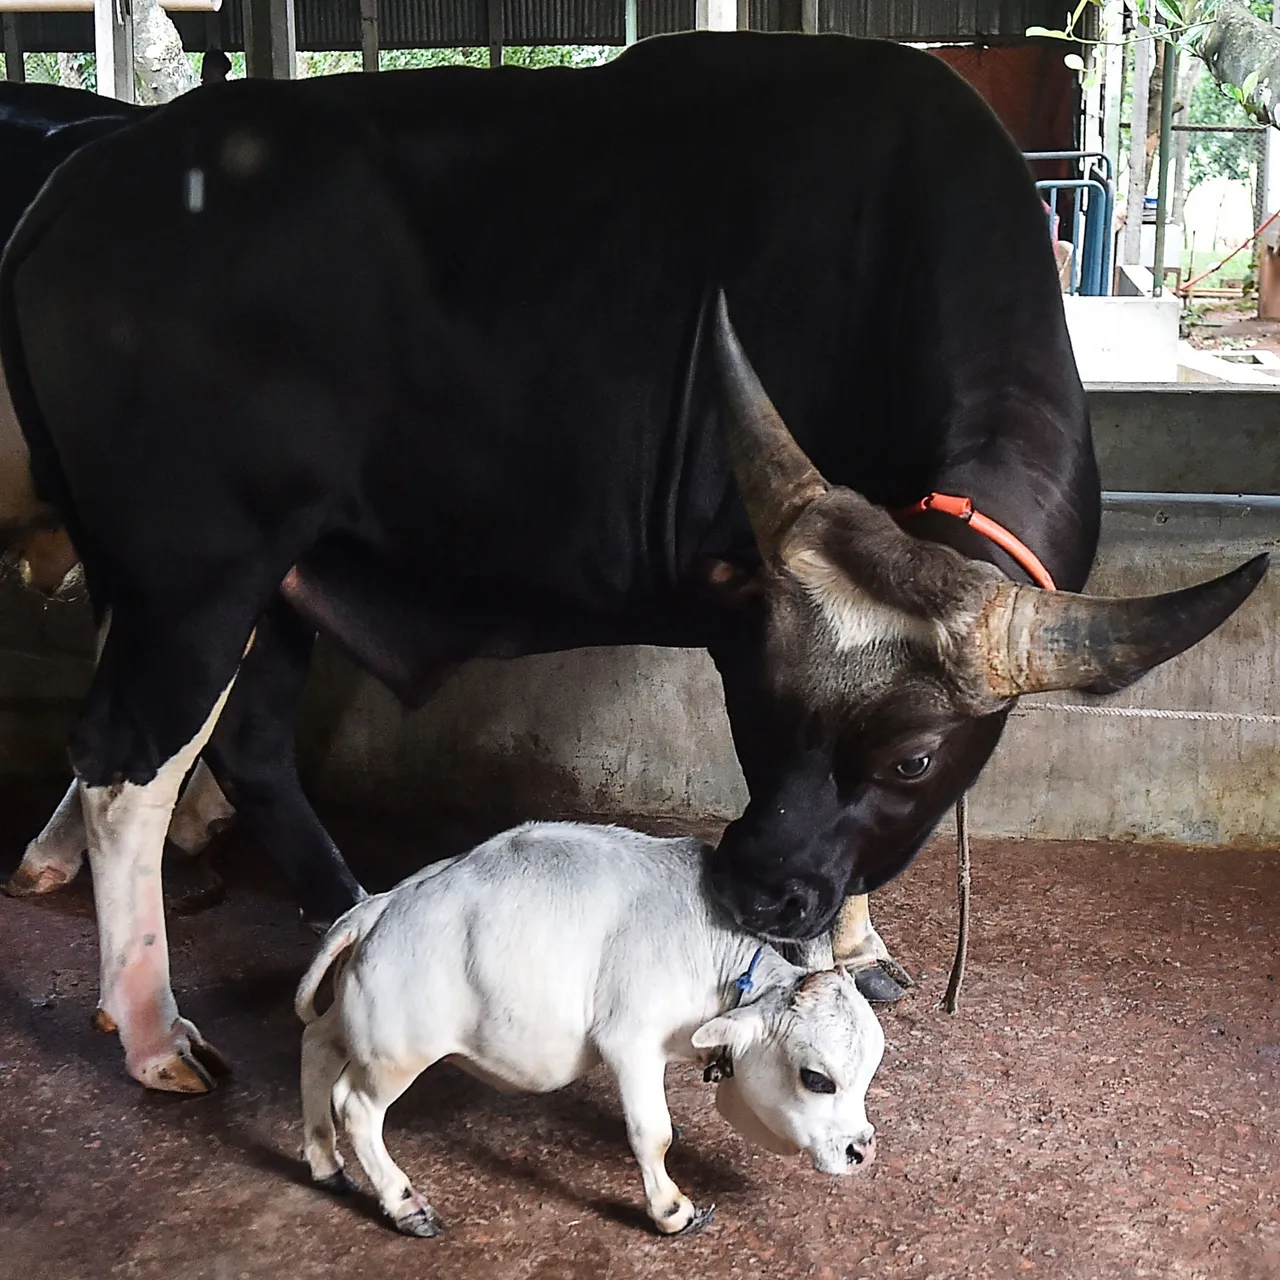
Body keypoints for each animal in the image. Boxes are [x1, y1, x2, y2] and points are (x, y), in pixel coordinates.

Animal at [295, 821, 885, 1237]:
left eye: (866, 1076)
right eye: (817, 1078)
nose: (862, 1151)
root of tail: (379, 907)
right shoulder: (631, 1042)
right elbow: (653, 1132)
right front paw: (671, 1210)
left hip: (352, 1023)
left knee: (316, 1048)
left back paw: (326, 1163)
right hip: (396, 1050)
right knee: (356, 1107)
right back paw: (404, 1205)